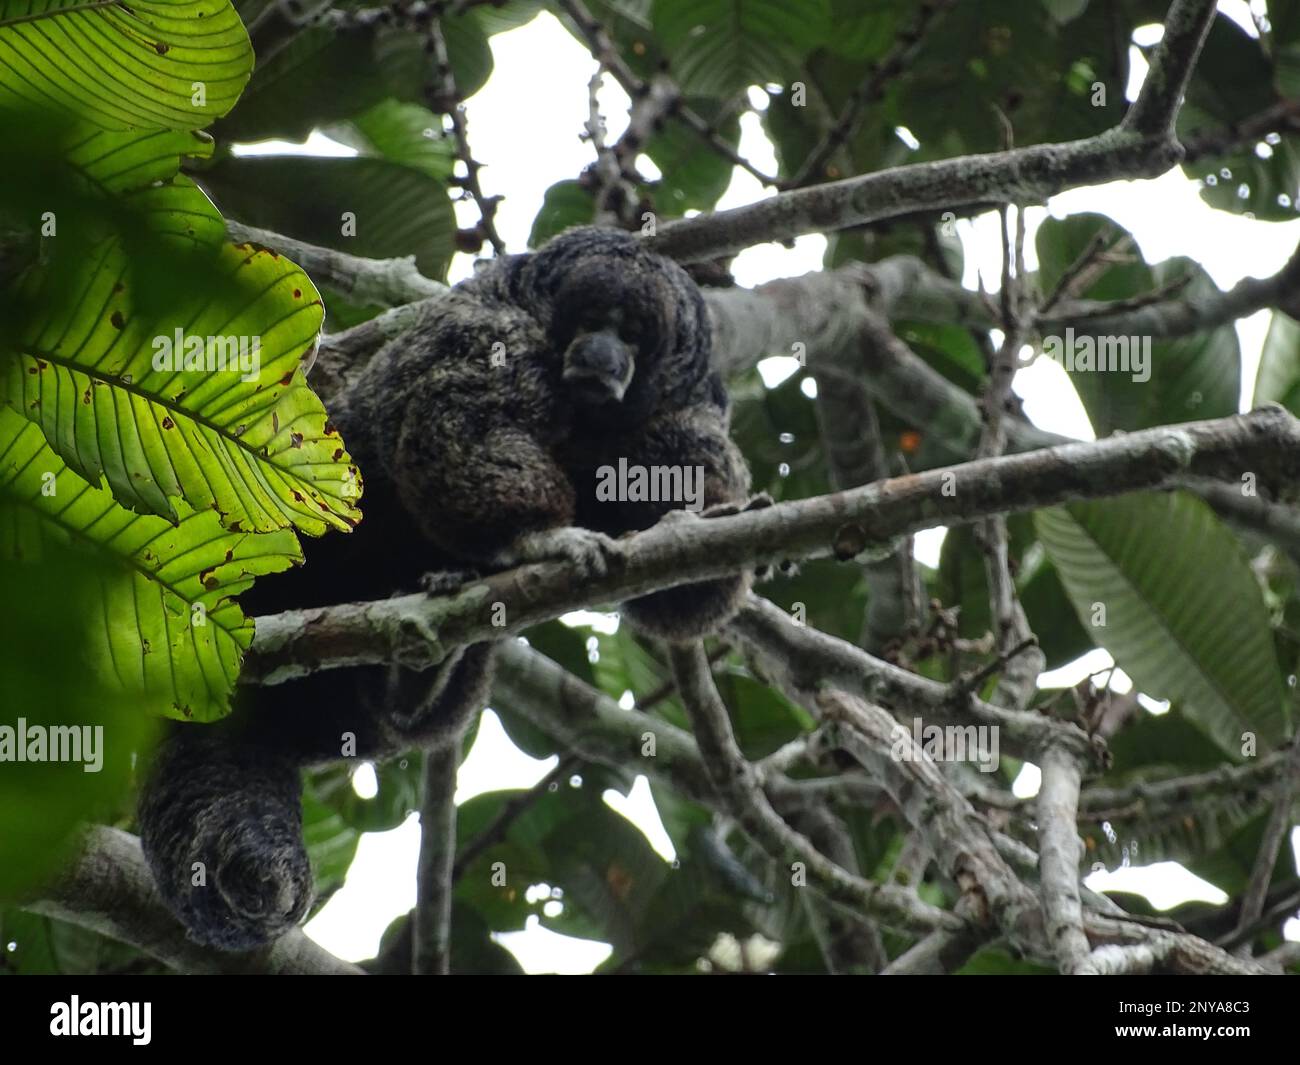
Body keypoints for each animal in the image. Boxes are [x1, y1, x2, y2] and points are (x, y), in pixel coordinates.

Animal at [136, 226, 754, 951]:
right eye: (592, 320)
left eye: (631, 333)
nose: (603, 352)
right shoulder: (493, 339)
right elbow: (449, 415)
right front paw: (535, 537)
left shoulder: (688, 402)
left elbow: (680, 582)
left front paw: (701, 513)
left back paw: (420, 681)